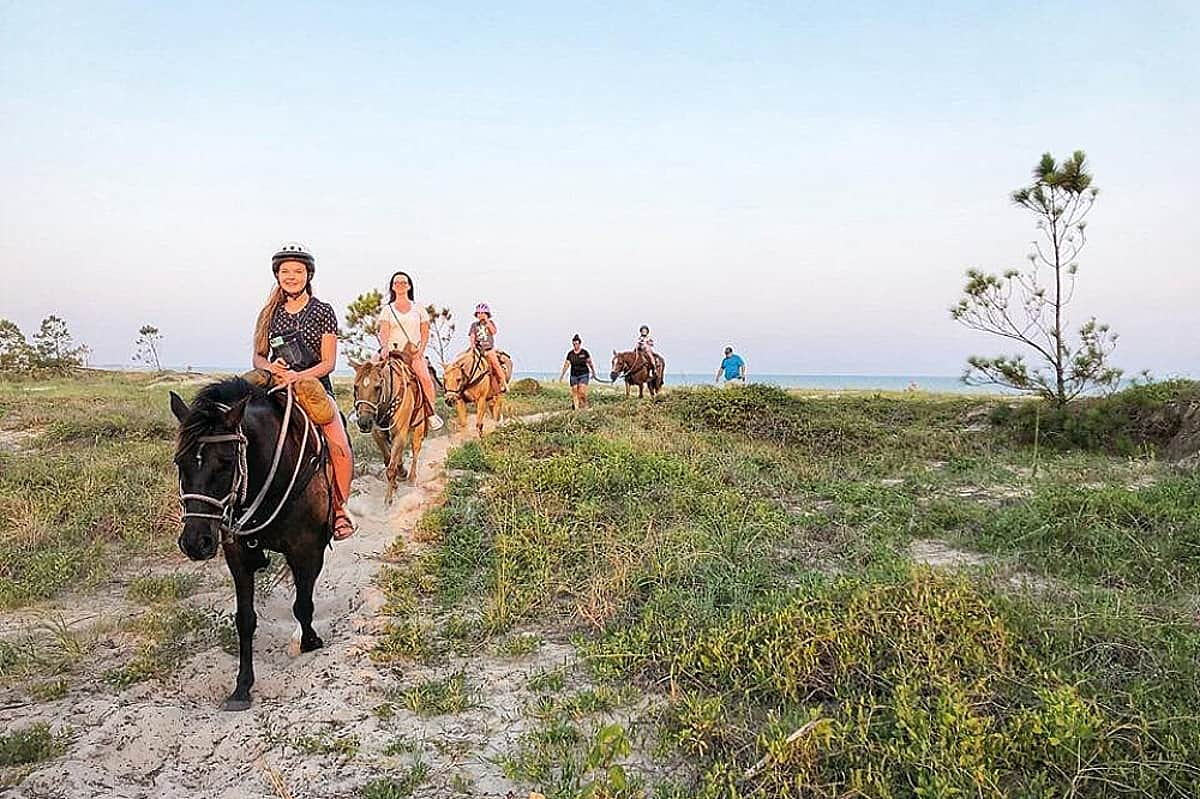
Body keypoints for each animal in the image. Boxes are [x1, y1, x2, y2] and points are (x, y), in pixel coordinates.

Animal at [171, 379, 331, 710]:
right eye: (180, 462)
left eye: (226, 462)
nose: (195, 543)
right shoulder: (238, 555)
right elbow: (245, 619)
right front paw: (242, 687)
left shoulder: (306, 549)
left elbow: (303, 605)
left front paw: (309, 642)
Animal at [350, 352, 432, 499]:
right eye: (355, 387)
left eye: (377, 387)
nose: (364, 422)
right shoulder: (378, 434)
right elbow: (389, 459)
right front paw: (398, 477)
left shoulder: (400, 434)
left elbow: (391, 467)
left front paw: (389, 498)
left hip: (419, 426)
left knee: (416, 450)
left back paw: (412, 478)